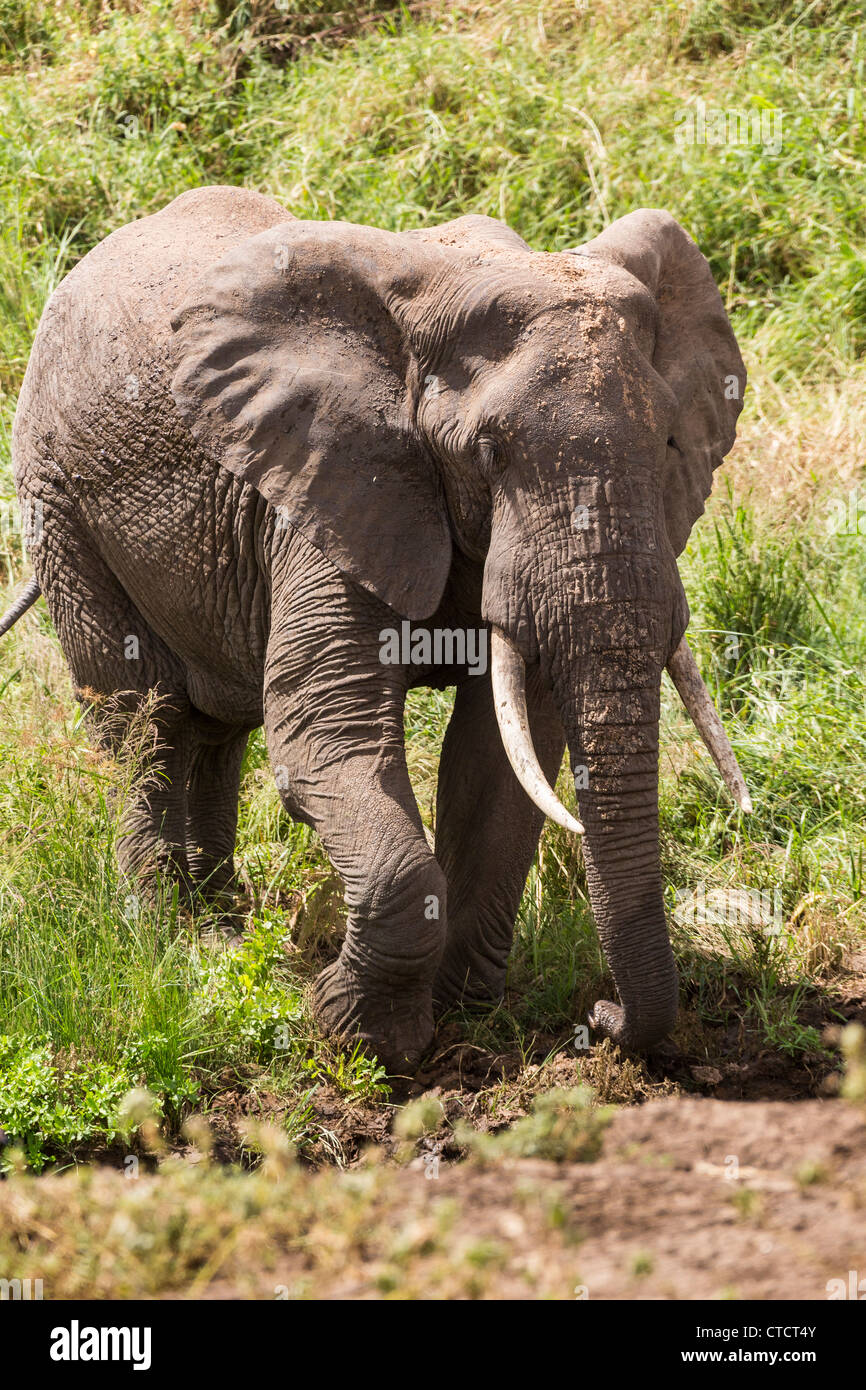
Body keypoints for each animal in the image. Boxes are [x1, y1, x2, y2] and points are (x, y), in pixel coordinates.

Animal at [8, 185, 750, 1073]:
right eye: (489, 453)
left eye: (668, 442)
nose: (600, 1018)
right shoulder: (328, 486)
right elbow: (327, 731)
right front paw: (359, 1035)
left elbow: (503, 756)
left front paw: (464, 1017)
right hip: (57, 494)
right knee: (139, 720)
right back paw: (168, 938)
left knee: (215, 728)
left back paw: (220, 927)